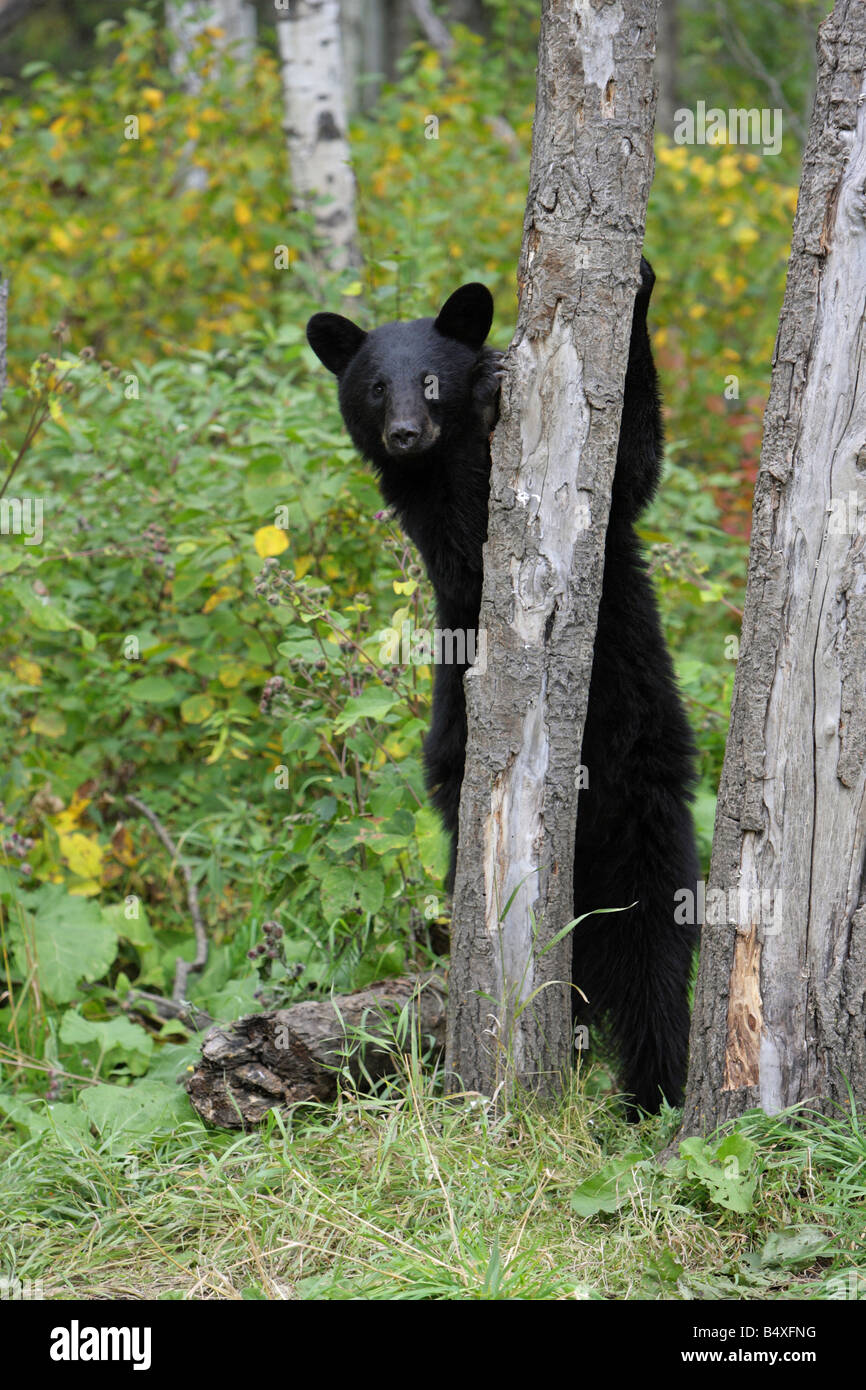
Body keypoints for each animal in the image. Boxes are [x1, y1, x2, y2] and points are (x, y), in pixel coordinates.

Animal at [306, 258, 700, 1116]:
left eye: (429, 379)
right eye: (375, 388)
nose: (406, 433)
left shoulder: (608, 518)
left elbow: (631, 468)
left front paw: (640, 284)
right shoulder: (427, 521)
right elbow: (469, 552)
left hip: (650, 801)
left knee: (655, 946)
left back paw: (652, 1087)